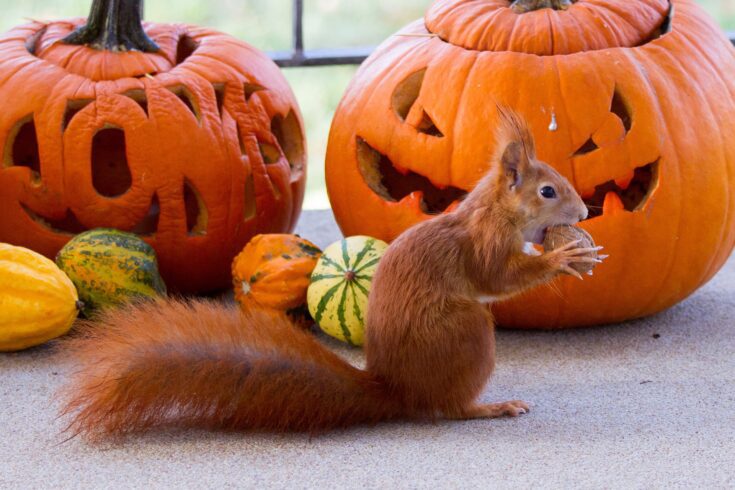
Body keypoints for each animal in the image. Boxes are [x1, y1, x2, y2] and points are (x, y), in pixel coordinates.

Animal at [59, 107, 604, 441]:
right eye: (548, 192)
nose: (583, 214)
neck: (494, 210)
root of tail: (397, 391)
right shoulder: (484, 244)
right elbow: (496, 279)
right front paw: (560, 259)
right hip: (467, 333)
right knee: (448, 409)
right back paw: (489, 407)